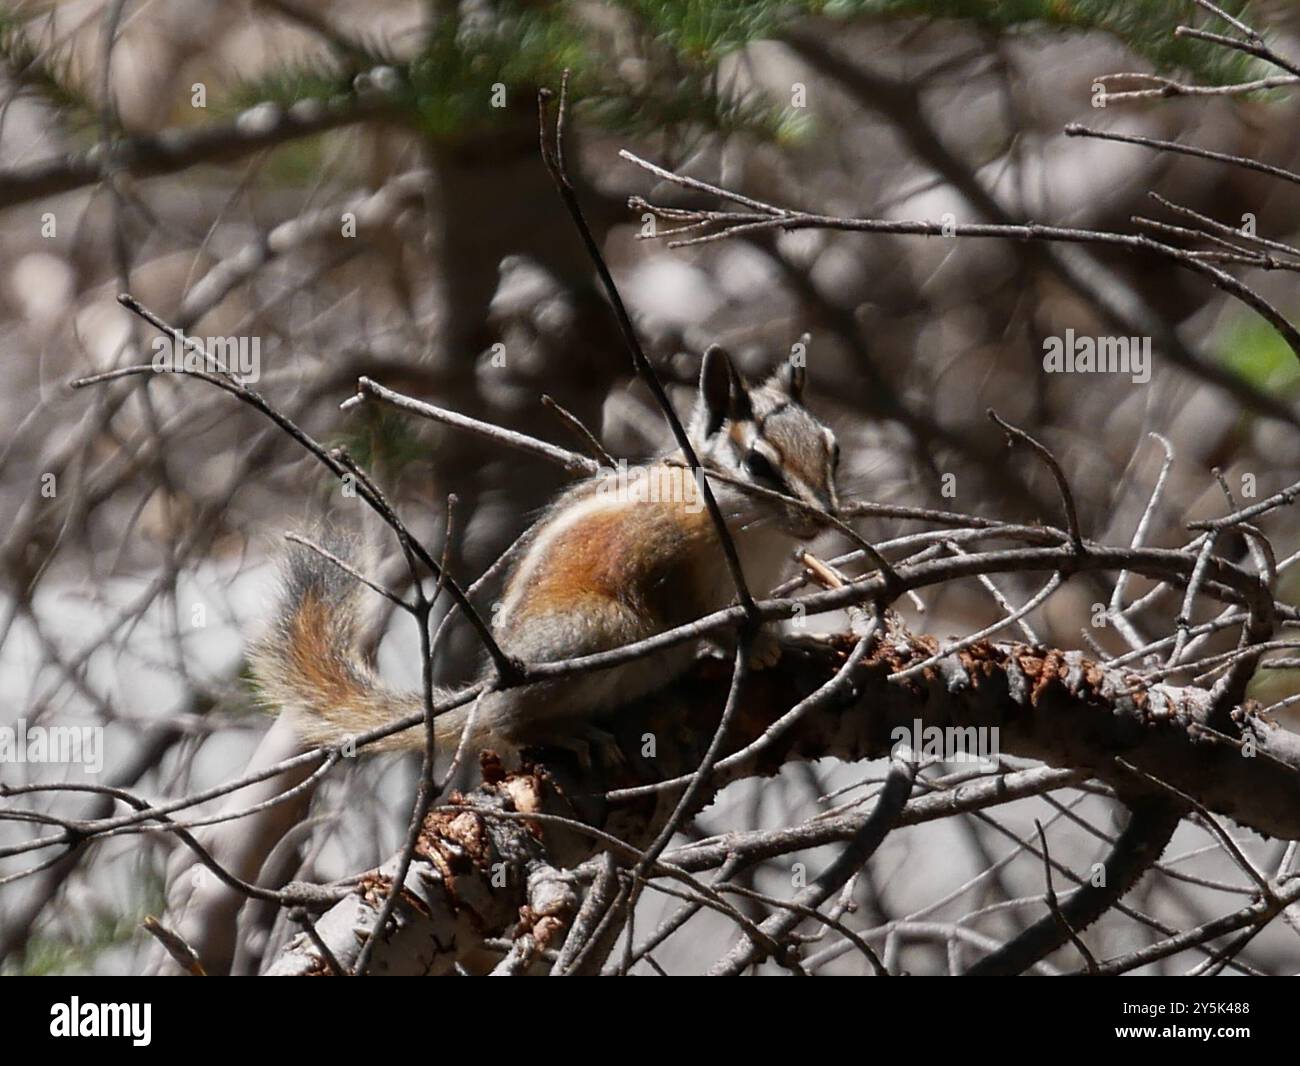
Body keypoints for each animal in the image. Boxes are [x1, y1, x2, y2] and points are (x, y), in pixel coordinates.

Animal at [249, 345, 841, 766]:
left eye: (831, 448)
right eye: (758, 464)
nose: (825, 518)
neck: (755, 531)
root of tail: (489, 685)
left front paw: (798, 640)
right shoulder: (665, 563)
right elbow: (699, 615)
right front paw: (752, 644)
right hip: (598, 627)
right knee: (508, 723)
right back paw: (564, 731)